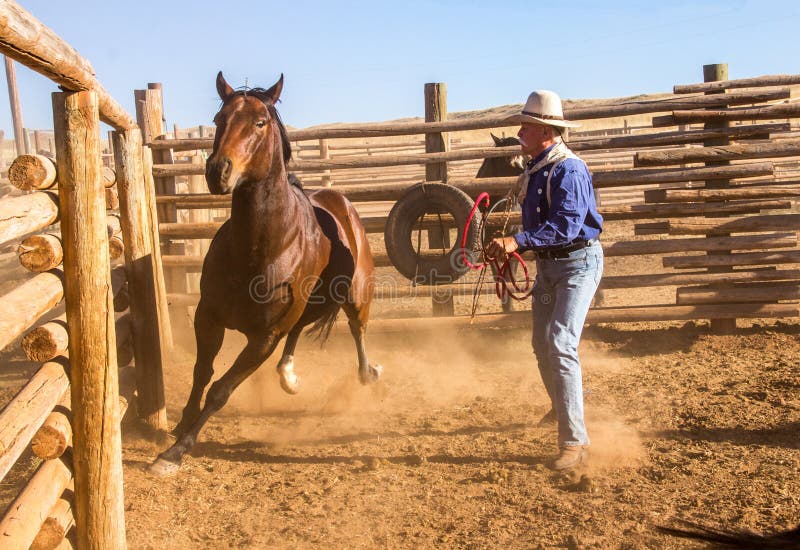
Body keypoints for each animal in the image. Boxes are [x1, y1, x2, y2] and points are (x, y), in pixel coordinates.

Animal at [150, 72, 382, 475]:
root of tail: (342, 205)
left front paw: (175, 452)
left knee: (357, 329)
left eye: (260, 122)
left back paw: (367, 372)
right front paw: (181, 423)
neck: (256, 248)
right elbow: (201, 372)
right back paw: (288, 374)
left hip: (354, 296)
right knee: (300, 328)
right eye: (218, 118)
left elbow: (220, 390)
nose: (218, 170)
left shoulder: (263, 337)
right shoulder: (207, 317)